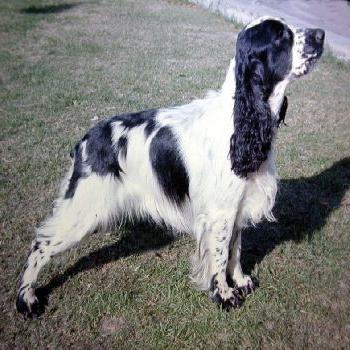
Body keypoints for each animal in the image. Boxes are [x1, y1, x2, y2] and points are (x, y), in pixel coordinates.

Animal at [17, 17, 326, 318]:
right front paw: (224, 295)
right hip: (83, 211)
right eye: (280, 35)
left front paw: (240, 281)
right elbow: (220, 256)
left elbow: (236, 250)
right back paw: (27, 299)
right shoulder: (220, 214)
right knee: (39, 245)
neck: (240, 120)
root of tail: (85, 141)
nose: (321, 34)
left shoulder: (238, 207)